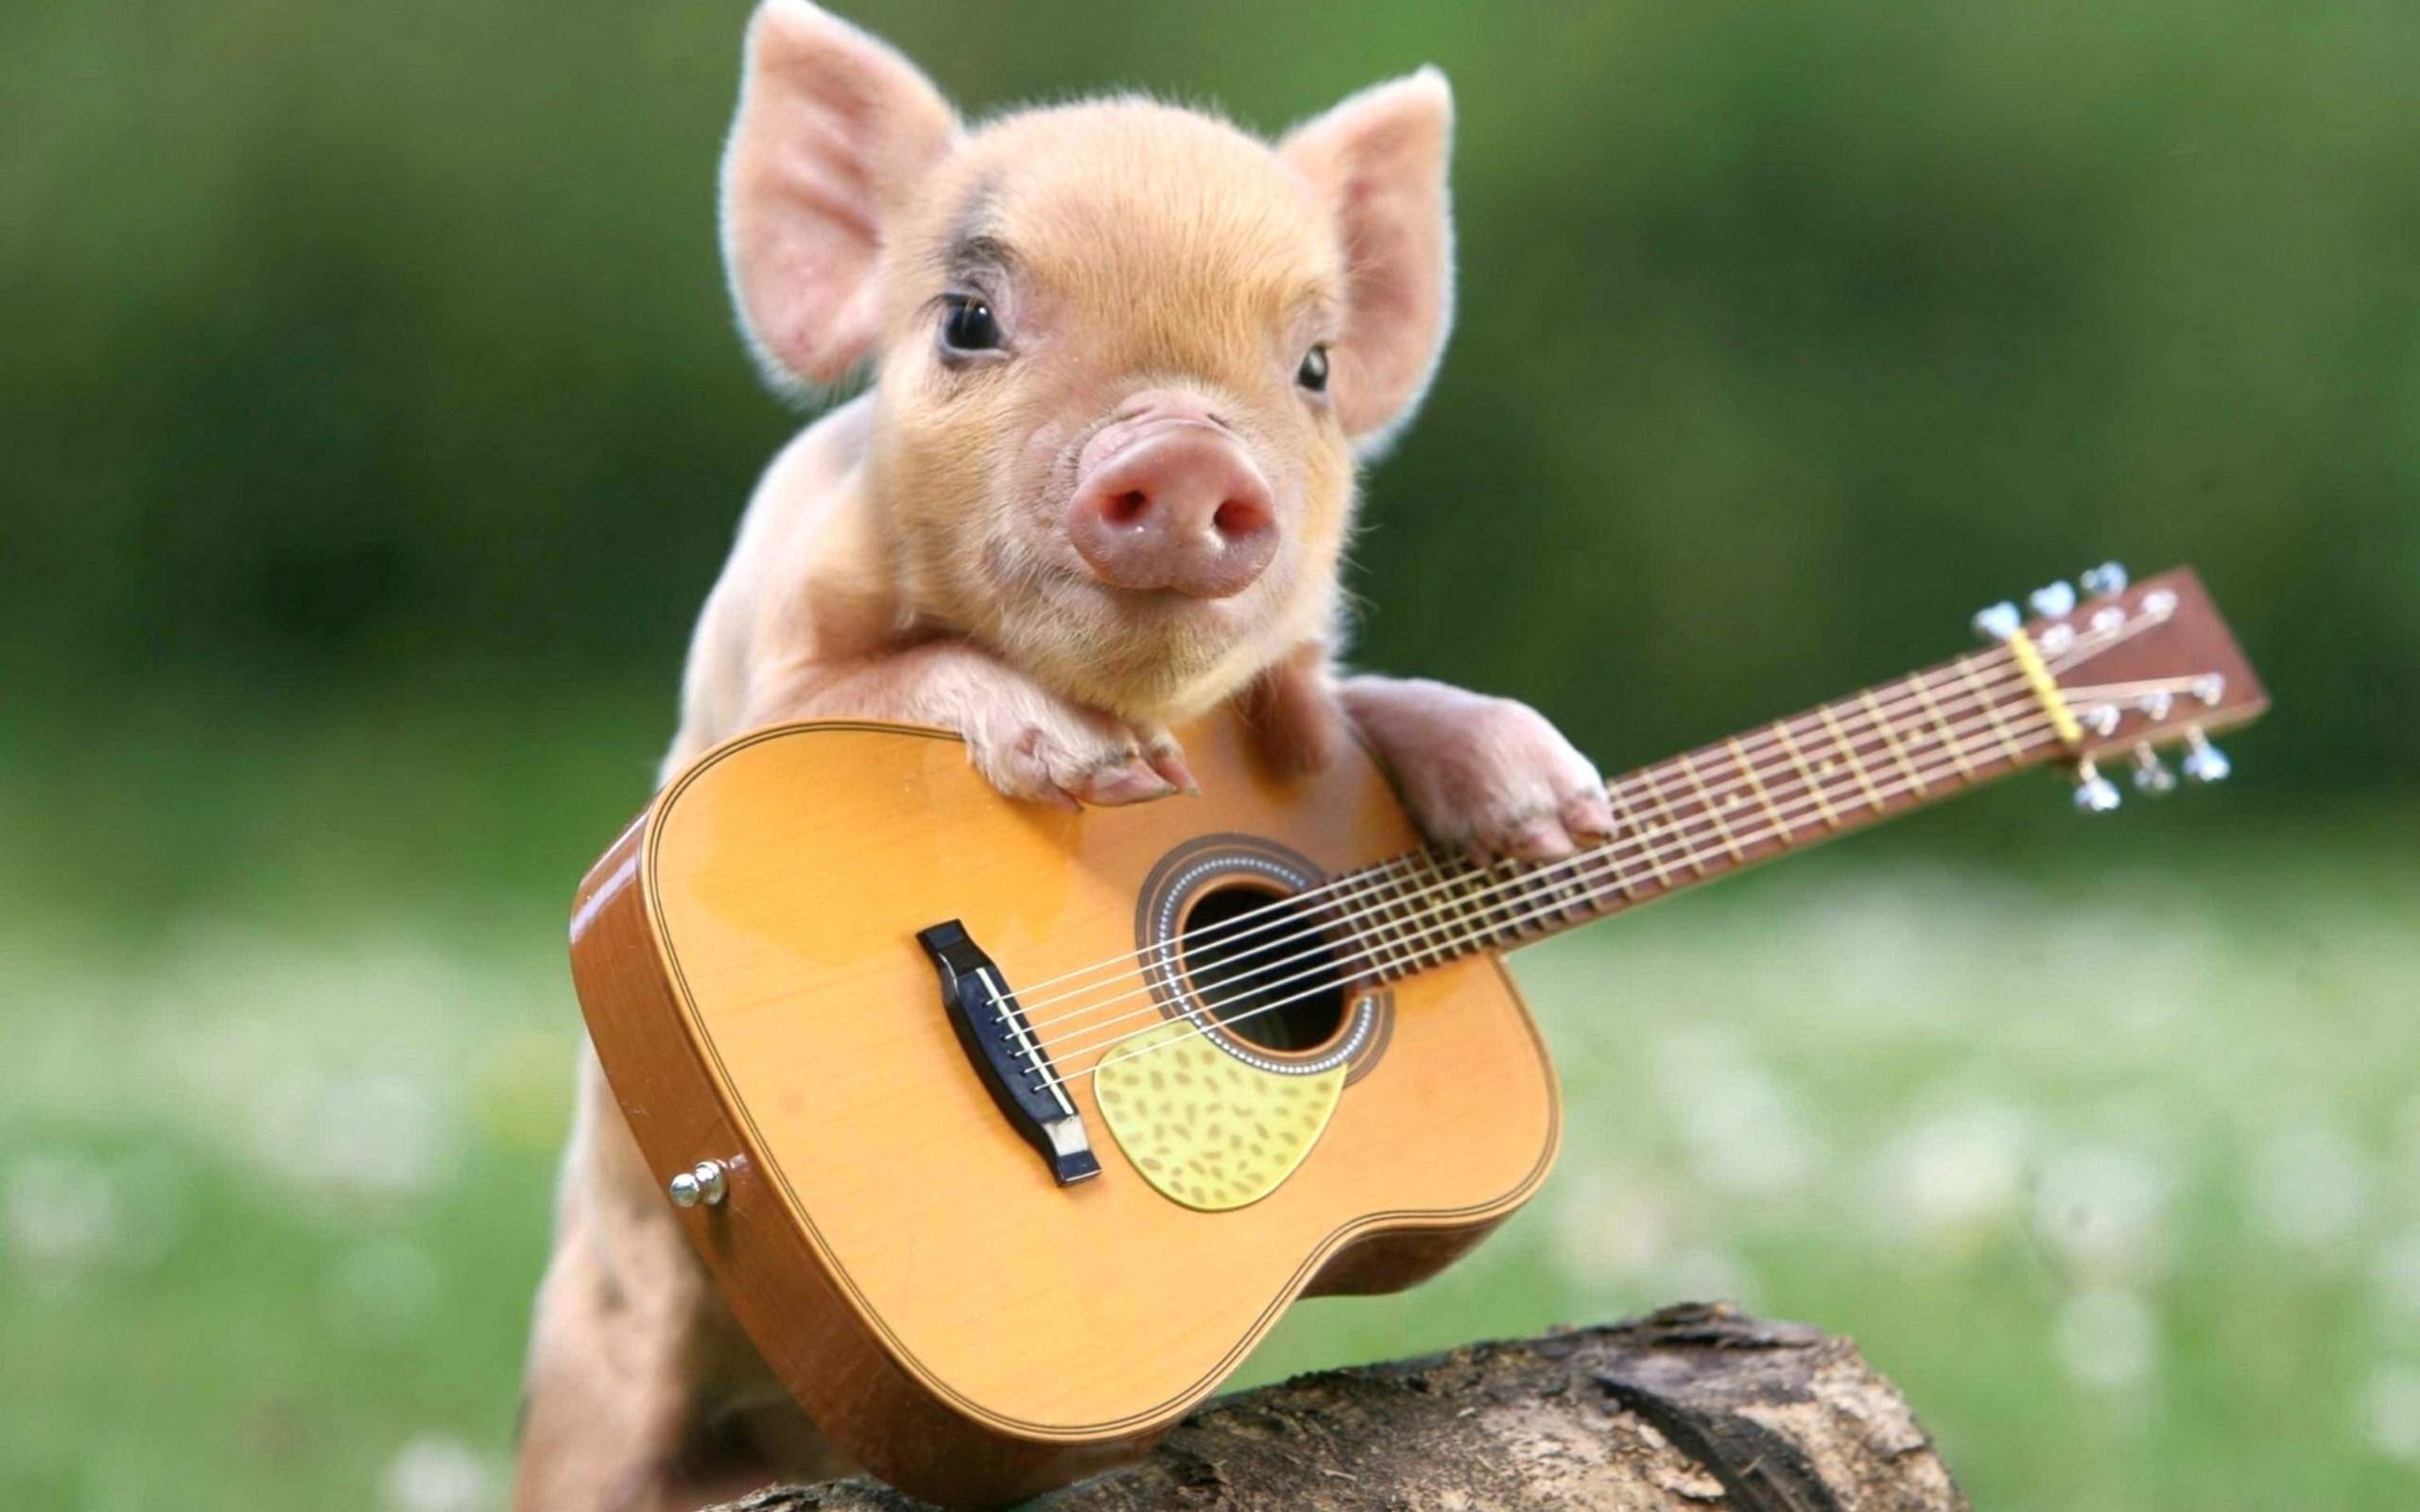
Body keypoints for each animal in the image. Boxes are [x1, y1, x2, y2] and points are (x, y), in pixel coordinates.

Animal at [513, 4, 1613, 1507]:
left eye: (1315, 369)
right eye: (968, 321)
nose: (1192, 450)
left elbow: (1355, 703)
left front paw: (1555, 804)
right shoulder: (748, 687)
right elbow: (892, 681)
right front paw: (1090, 761)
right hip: (593, 1372)